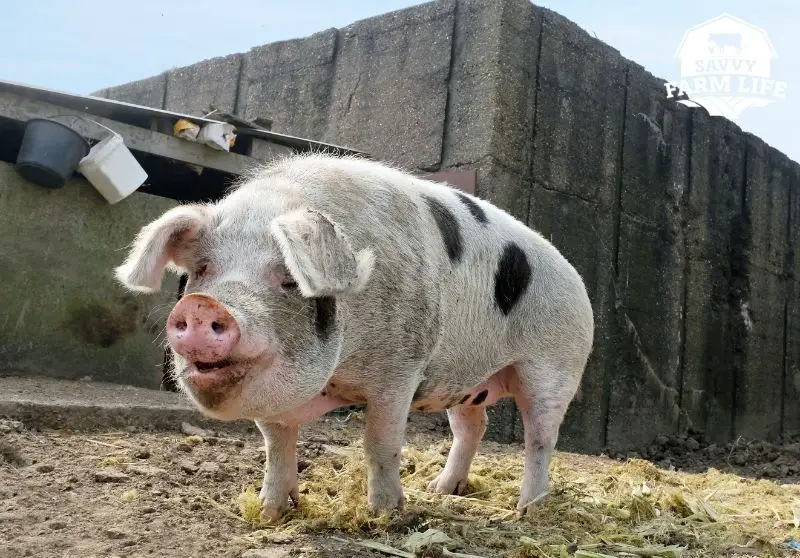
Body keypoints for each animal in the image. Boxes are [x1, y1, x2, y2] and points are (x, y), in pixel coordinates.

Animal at [114, 153, 594, 521]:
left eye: (289, 278)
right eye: (203, 269)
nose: (201, 306)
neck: (340, 373)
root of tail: (576, 276)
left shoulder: (401, 368)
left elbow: (380, 443)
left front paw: (385, 514)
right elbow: (275, 445)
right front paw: (271, 511)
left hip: (555, 365)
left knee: (540, 437)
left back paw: (527, 509)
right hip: (461, 379)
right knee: (474, 424)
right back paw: (441, 490)